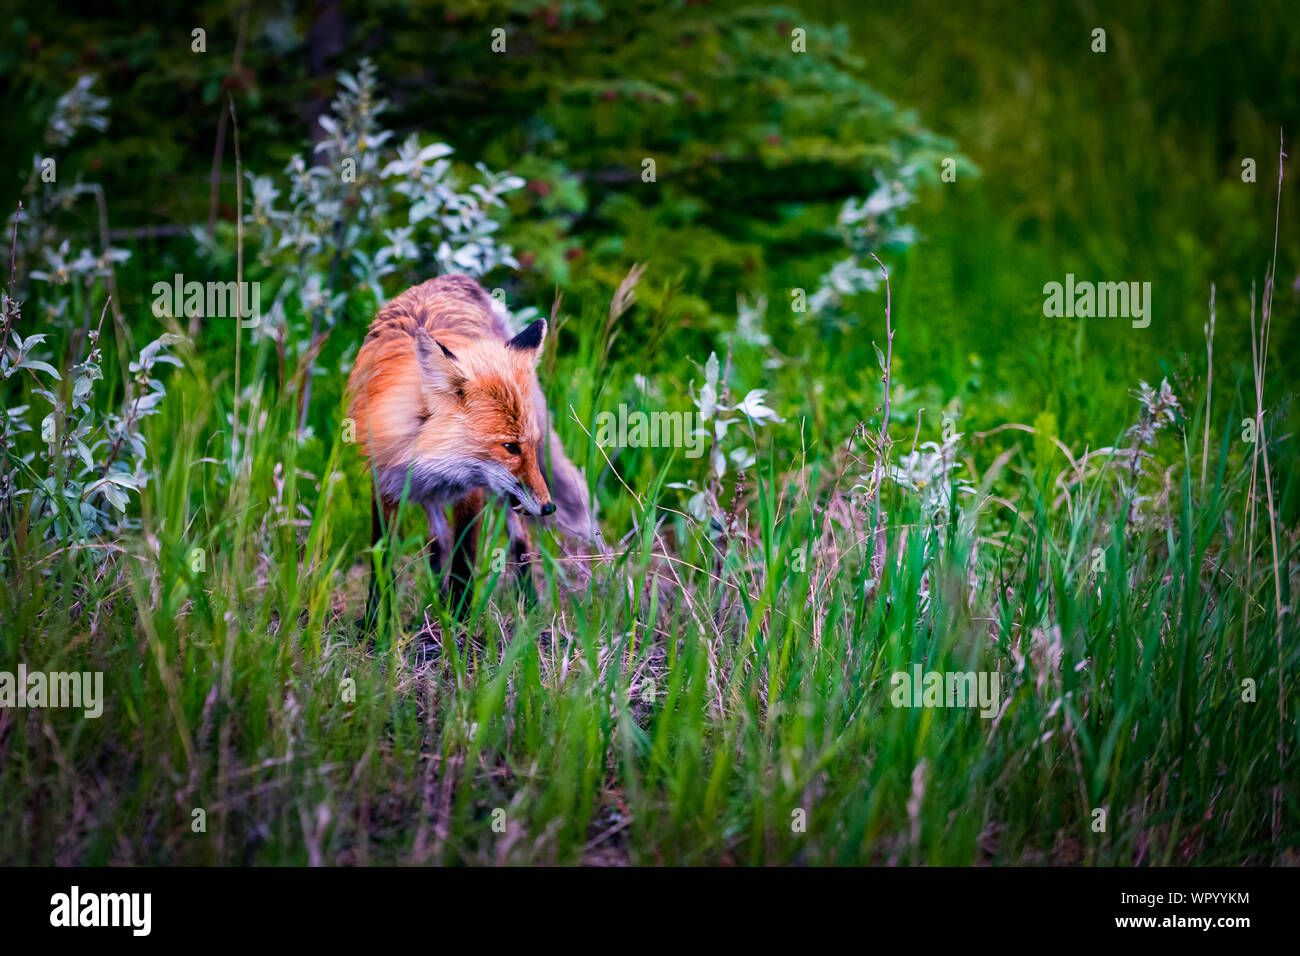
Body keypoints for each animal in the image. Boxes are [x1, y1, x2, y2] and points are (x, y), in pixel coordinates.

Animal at [347, 274, 596, 616]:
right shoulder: (383, 482)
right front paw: (376, 621)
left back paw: (528, 605)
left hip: (503, 498)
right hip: (434, 495)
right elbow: (382, 558)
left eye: (531, 445)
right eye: (510, 446)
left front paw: (460, 622)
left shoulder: (470, 491)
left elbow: (464, 562)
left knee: (519, 539)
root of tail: (457, 278)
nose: (549, 507)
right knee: (439, 539)